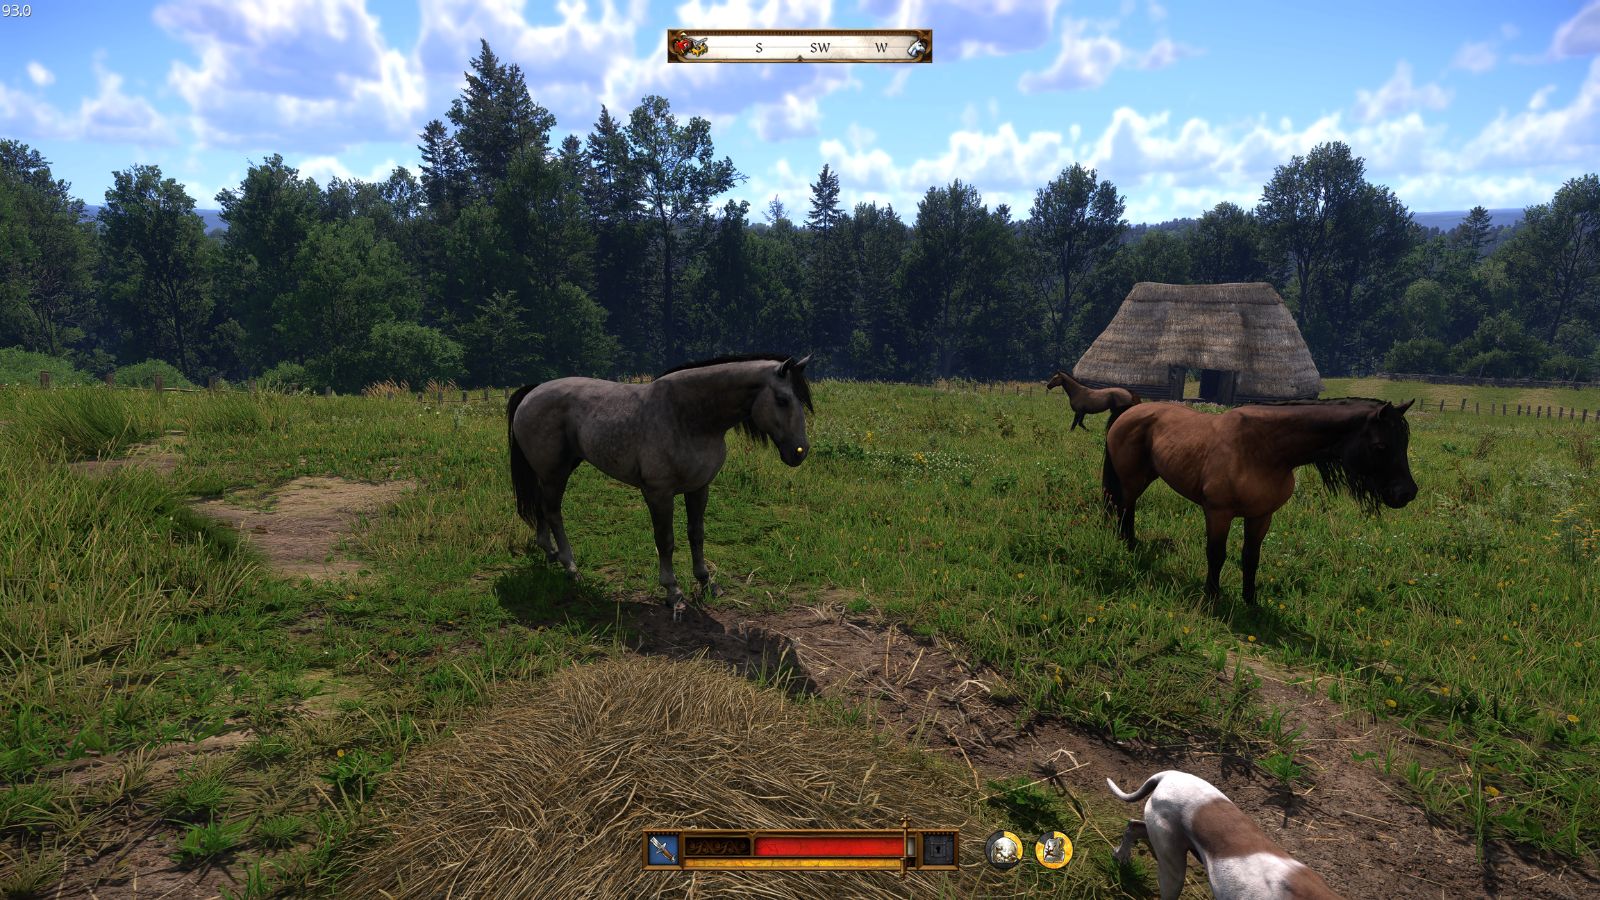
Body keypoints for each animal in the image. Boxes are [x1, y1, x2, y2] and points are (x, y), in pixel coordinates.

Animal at [508, 353, 813, 619]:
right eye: (783, 400)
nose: (799, 452)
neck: (688, 416)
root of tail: (533, 392)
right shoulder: (659, 494)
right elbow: (665, 540)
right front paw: (673, 592)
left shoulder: (699, 488)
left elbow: (696, 534)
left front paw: (706, 582)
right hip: (554, 473)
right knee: (553, 512)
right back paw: (570, 567)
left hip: (556, 470)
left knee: (541, 508)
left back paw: (549, 553)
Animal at [1101, 398, 1416, 605]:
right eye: (1380, 446)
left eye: (1404, 444)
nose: (1407, 493)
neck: (1265, 449)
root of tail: (1130, 410)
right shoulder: (1218, 513)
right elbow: (1216, 554)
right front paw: (1212, 596)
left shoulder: (1262, 516)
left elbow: (1251, 558)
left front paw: (1250, 601)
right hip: (1132, 479)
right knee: (1125, 508)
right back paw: (1127, 545)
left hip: (1146, 476)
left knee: (1127, 508)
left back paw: (1131, 544)